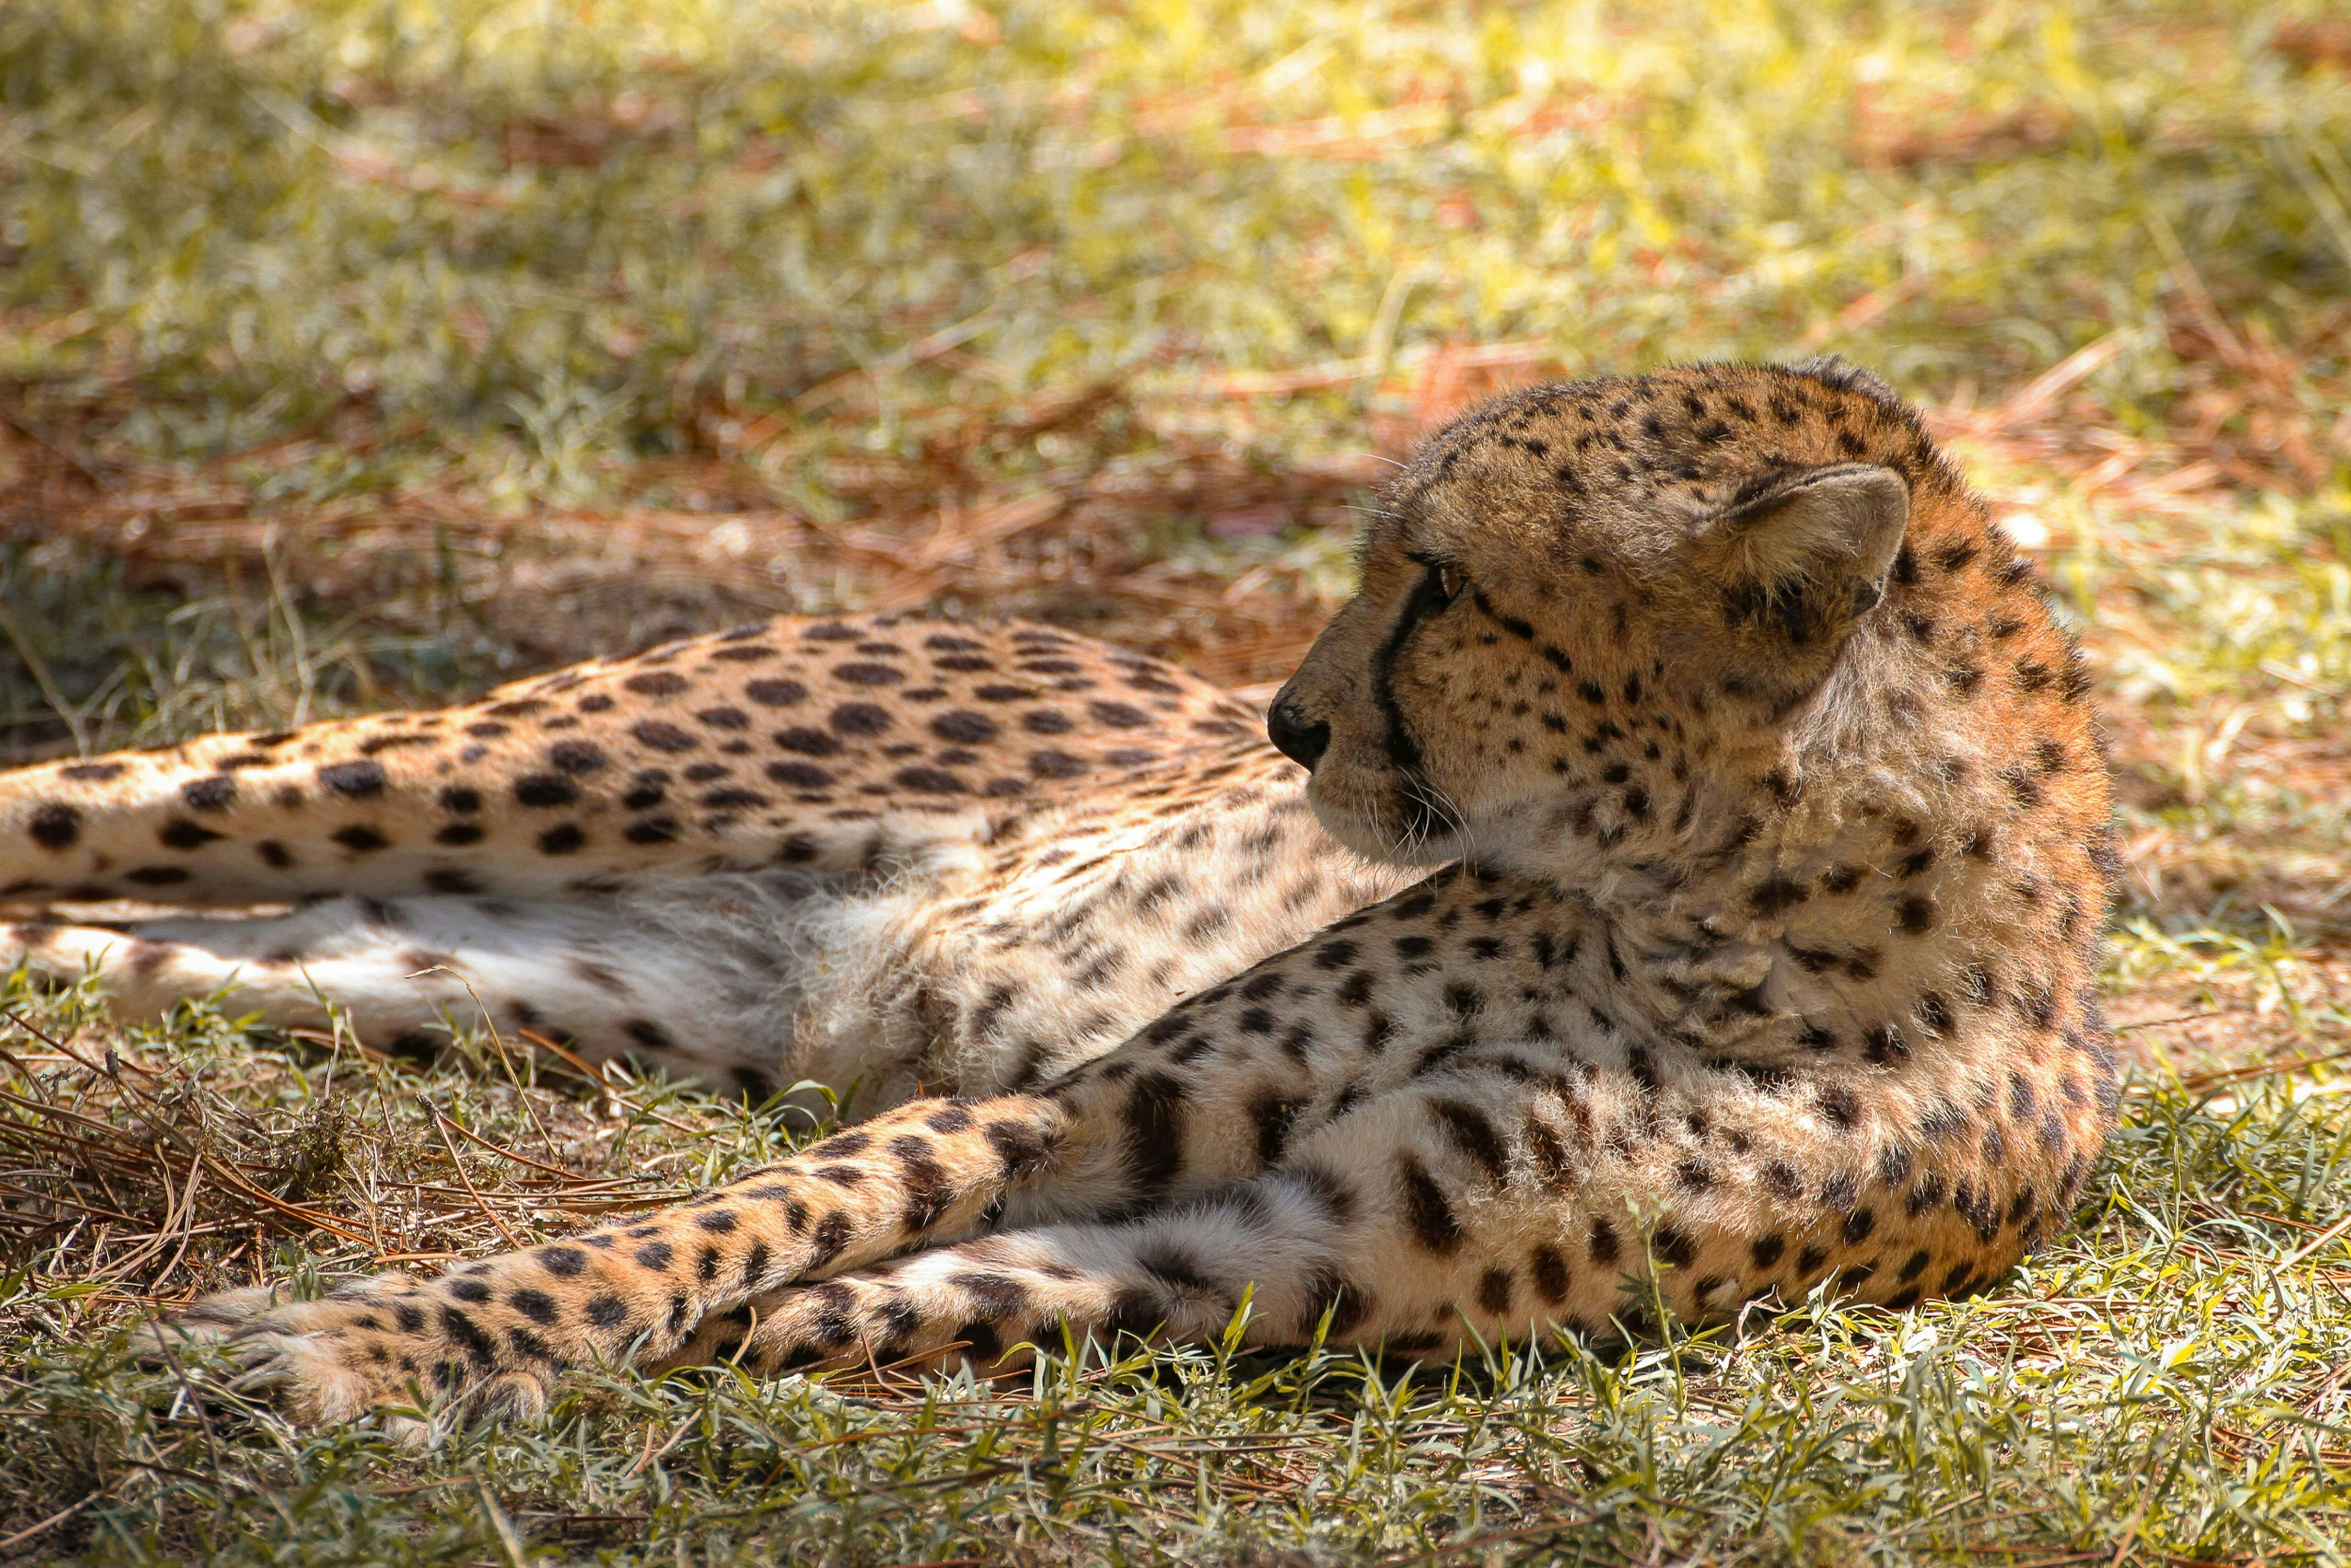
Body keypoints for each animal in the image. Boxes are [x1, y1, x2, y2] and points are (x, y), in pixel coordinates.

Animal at [0, 359, 2121, 1429]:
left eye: (1441, 583)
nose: (1286, 722)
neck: (1737, 911)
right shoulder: (1091, 1095)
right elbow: (705, 1231)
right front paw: (364, 1349)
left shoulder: (1280, 1255)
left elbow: (832, 1299)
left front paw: (564, 1374)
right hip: (510, 774)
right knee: (79, 802)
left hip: (517, 978)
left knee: (177, 949)